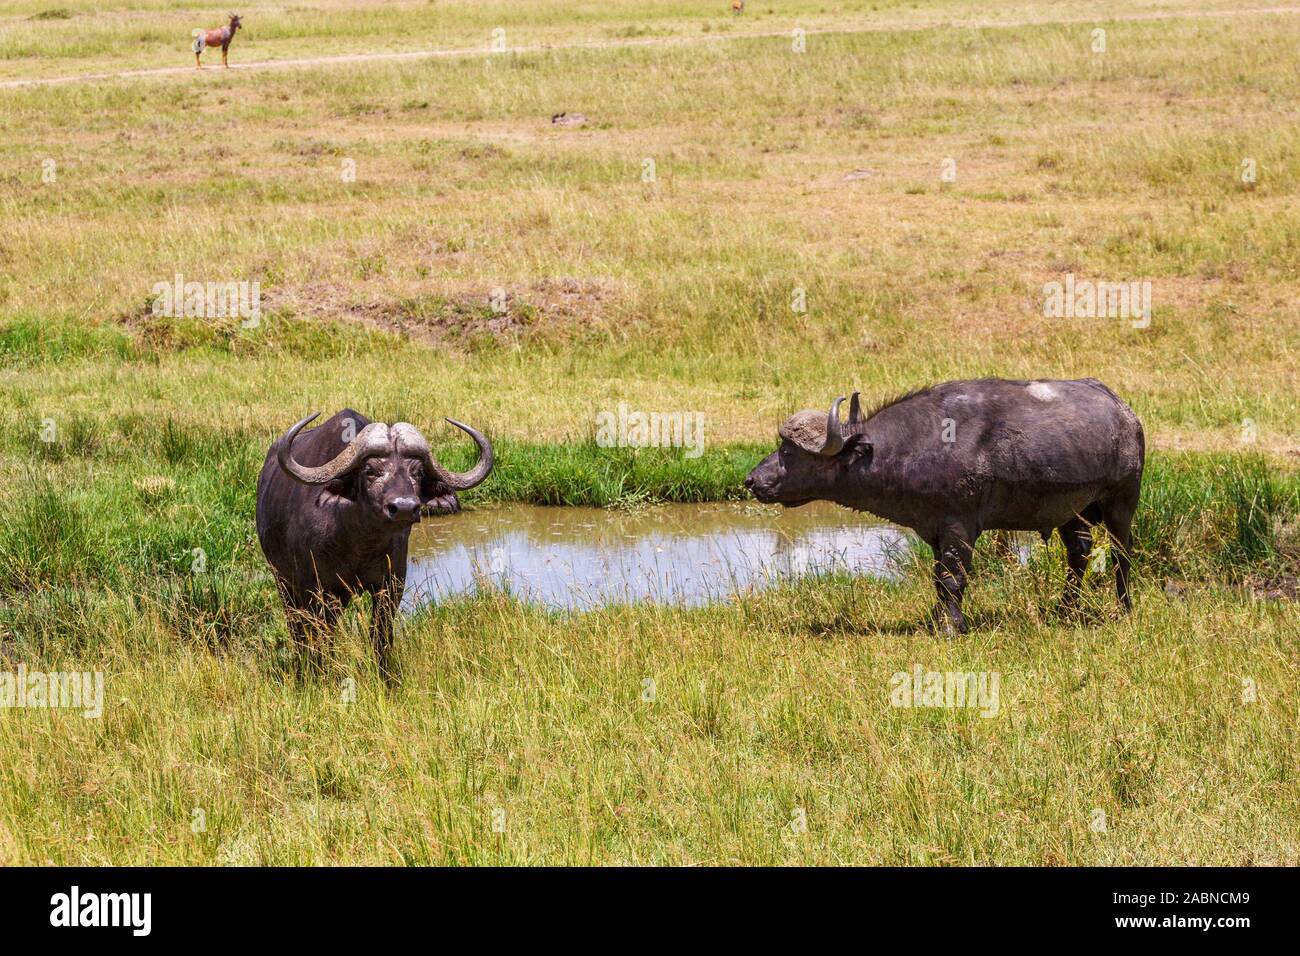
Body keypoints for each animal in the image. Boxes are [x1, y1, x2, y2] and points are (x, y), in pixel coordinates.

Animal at [256, 409, 493, 678]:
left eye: (417, 472)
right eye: (370, 470)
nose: (404, 508)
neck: (358, 544)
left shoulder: (391, 585)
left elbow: (380, 636)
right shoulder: (312, 589)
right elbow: (316, 635)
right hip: (283, 581)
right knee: (298, 628)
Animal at [745, 378, 1144, 632]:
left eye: (789, 452)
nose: (752, 480)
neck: (919, 446)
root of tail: (1125, 413)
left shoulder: (959, 526)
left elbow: (953, 577)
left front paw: (953, 627)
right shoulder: (934, 529)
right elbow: (938, 578)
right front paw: (937, 620)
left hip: (1122, 500)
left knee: (1122, 553)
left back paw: (1123, 609)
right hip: (1071, 511)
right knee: (1079, 553)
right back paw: (1065, 609)